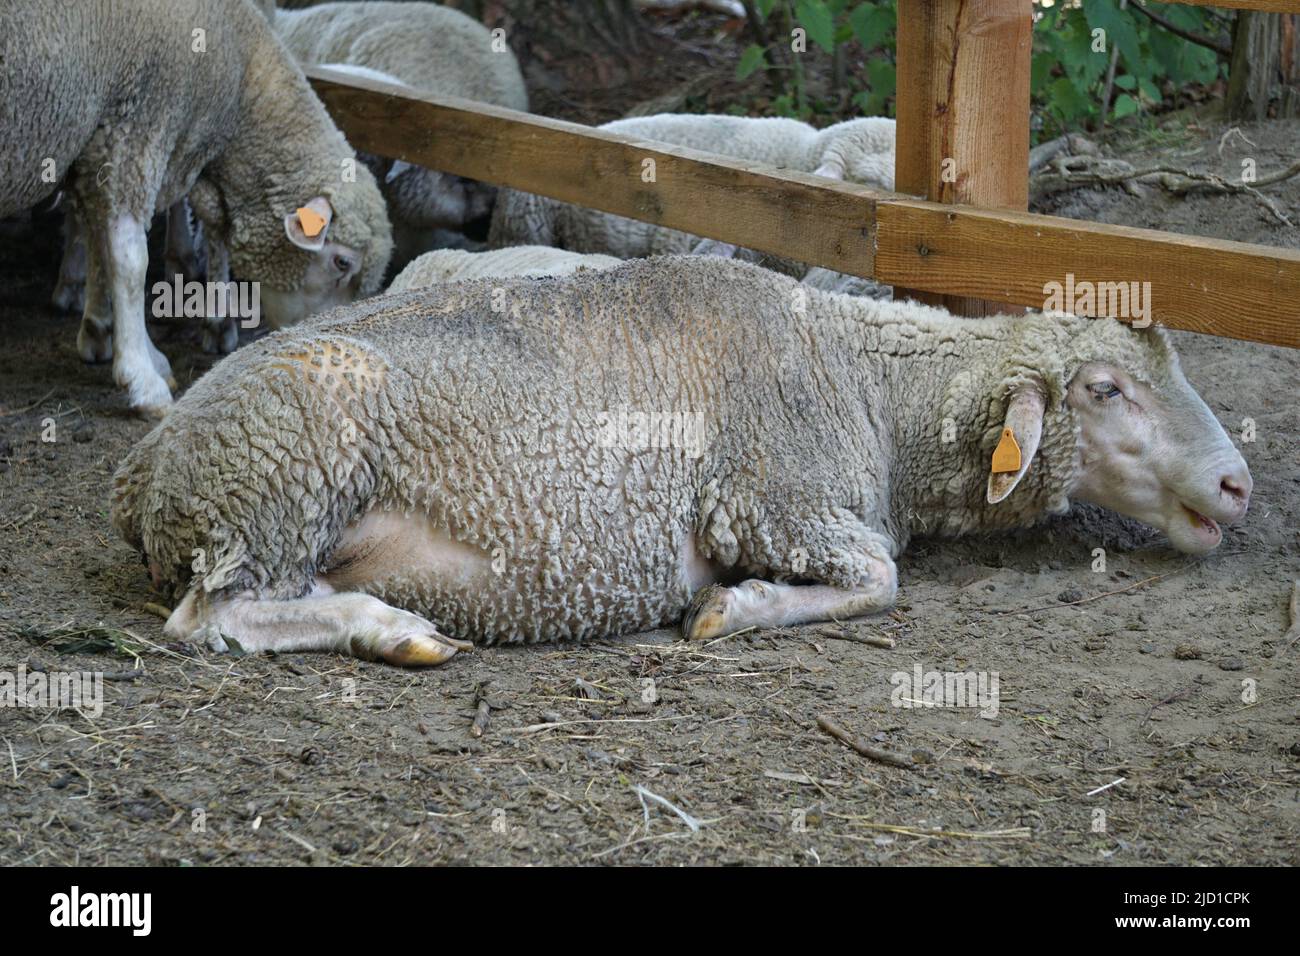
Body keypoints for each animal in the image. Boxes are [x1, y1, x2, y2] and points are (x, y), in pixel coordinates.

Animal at [1, 0, 392, 416]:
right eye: (342, 262)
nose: (330, 345)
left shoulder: (100, 145)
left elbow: (99, 243)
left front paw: (108, 333)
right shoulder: (140, 127)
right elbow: (129, 260)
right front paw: (142, 376)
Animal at [111, 257, 1252, 667]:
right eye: (1105, 389)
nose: (1237, 482)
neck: (876, 392)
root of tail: (147, 466)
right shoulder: (774, 501)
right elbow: (881, 578)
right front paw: (732, 608)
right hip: (275, 479)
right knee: (209, 617)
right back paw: (390, 627)